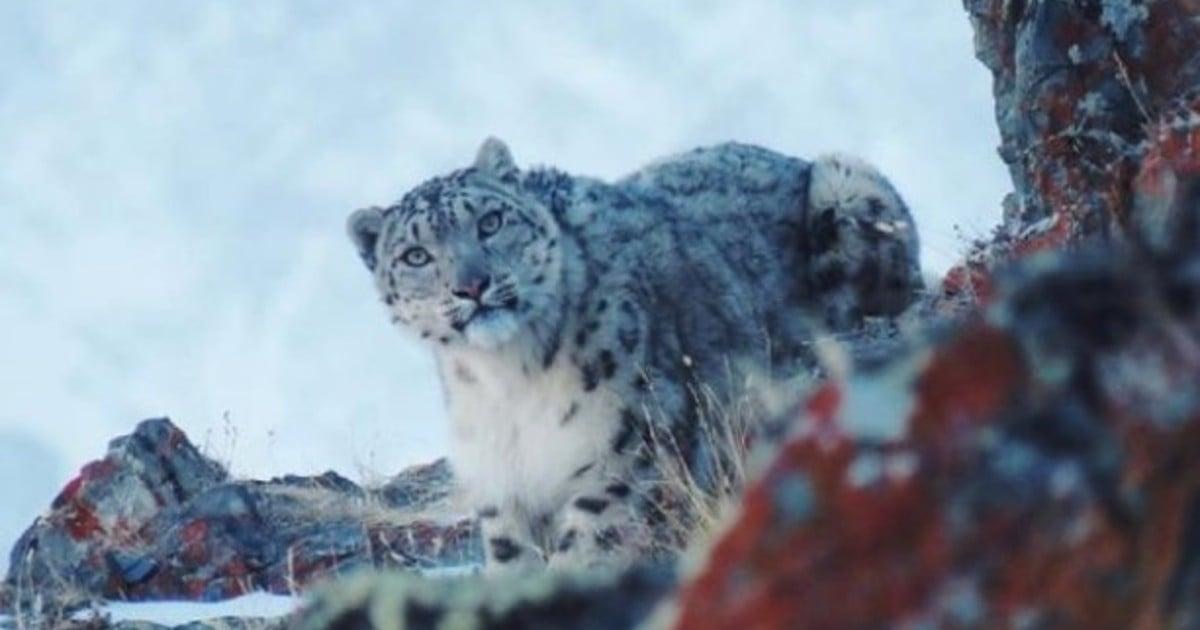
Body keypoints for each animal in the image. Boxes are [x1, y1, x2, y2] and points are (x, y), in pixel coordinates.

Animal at [347, 137, 921, 573]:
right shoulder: (500, 483)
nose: (472, 285)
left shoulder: (627, 448)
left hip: (846, 185)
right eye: (415, 255)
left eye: (489, 221)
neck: (509, 380)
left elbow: (587, 544)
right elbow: (511, 559)